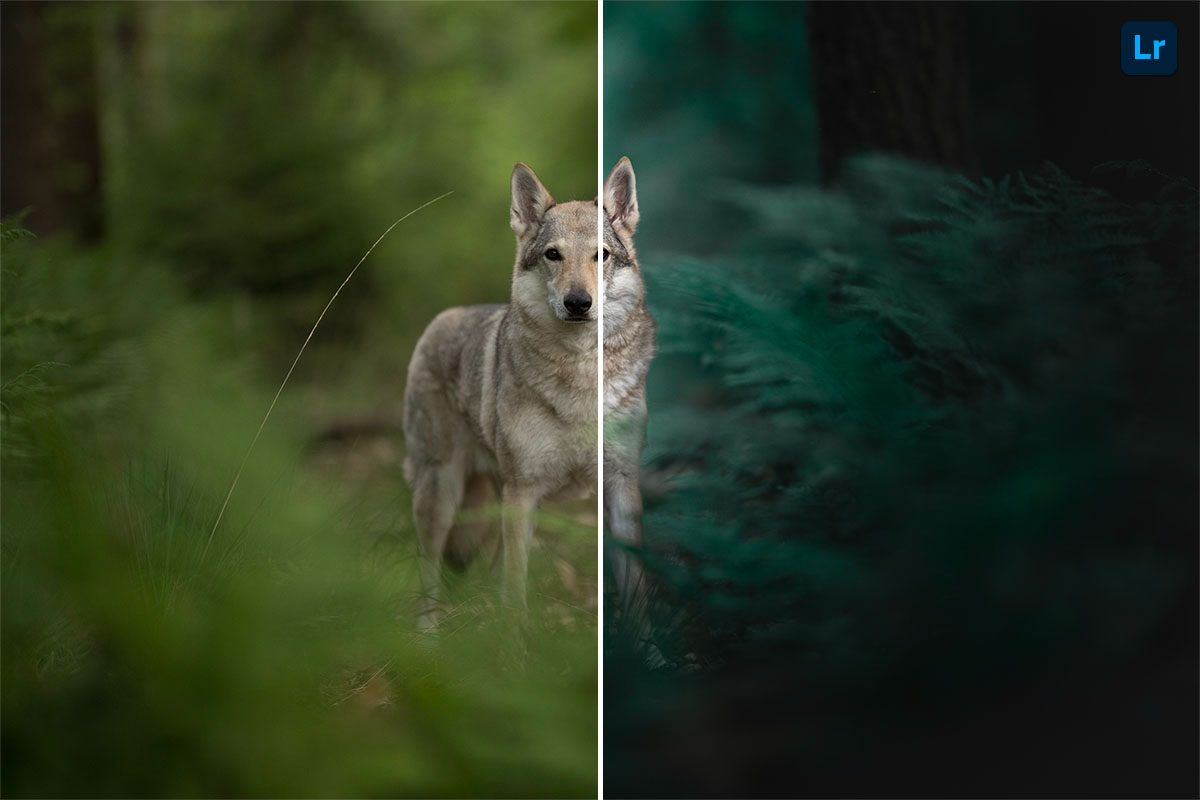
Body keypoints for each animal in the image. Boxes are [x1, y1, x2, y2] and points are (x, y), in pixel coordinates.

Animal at [403, 162, 599, 631]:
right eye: (553, 255)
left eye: (600, 255)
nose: (579, 303)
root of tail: (442, 317)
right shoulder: (523, 494)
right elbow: (516, 592)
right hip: (443, 495)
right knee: (429, 570)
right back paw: (427, 635)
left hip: (495, 505)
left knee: (490, 571)